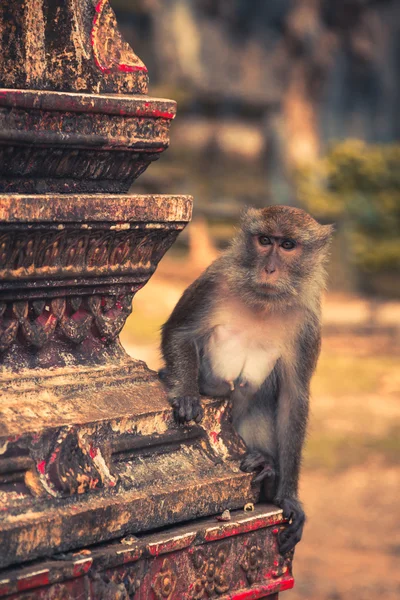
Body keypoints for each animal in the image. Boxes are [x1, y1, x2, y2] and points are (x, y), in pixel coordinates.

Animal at [161, 205, 332, 552]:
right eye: (265, 240)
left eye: (288, 245)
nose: (269, 269)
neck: (264, 303)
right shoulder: (215, 281)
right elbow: (179, 333)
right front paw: (186, 393)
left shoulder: (308, 325)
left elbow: (293, 398)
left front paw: (288, 497)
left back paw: (267, 472)